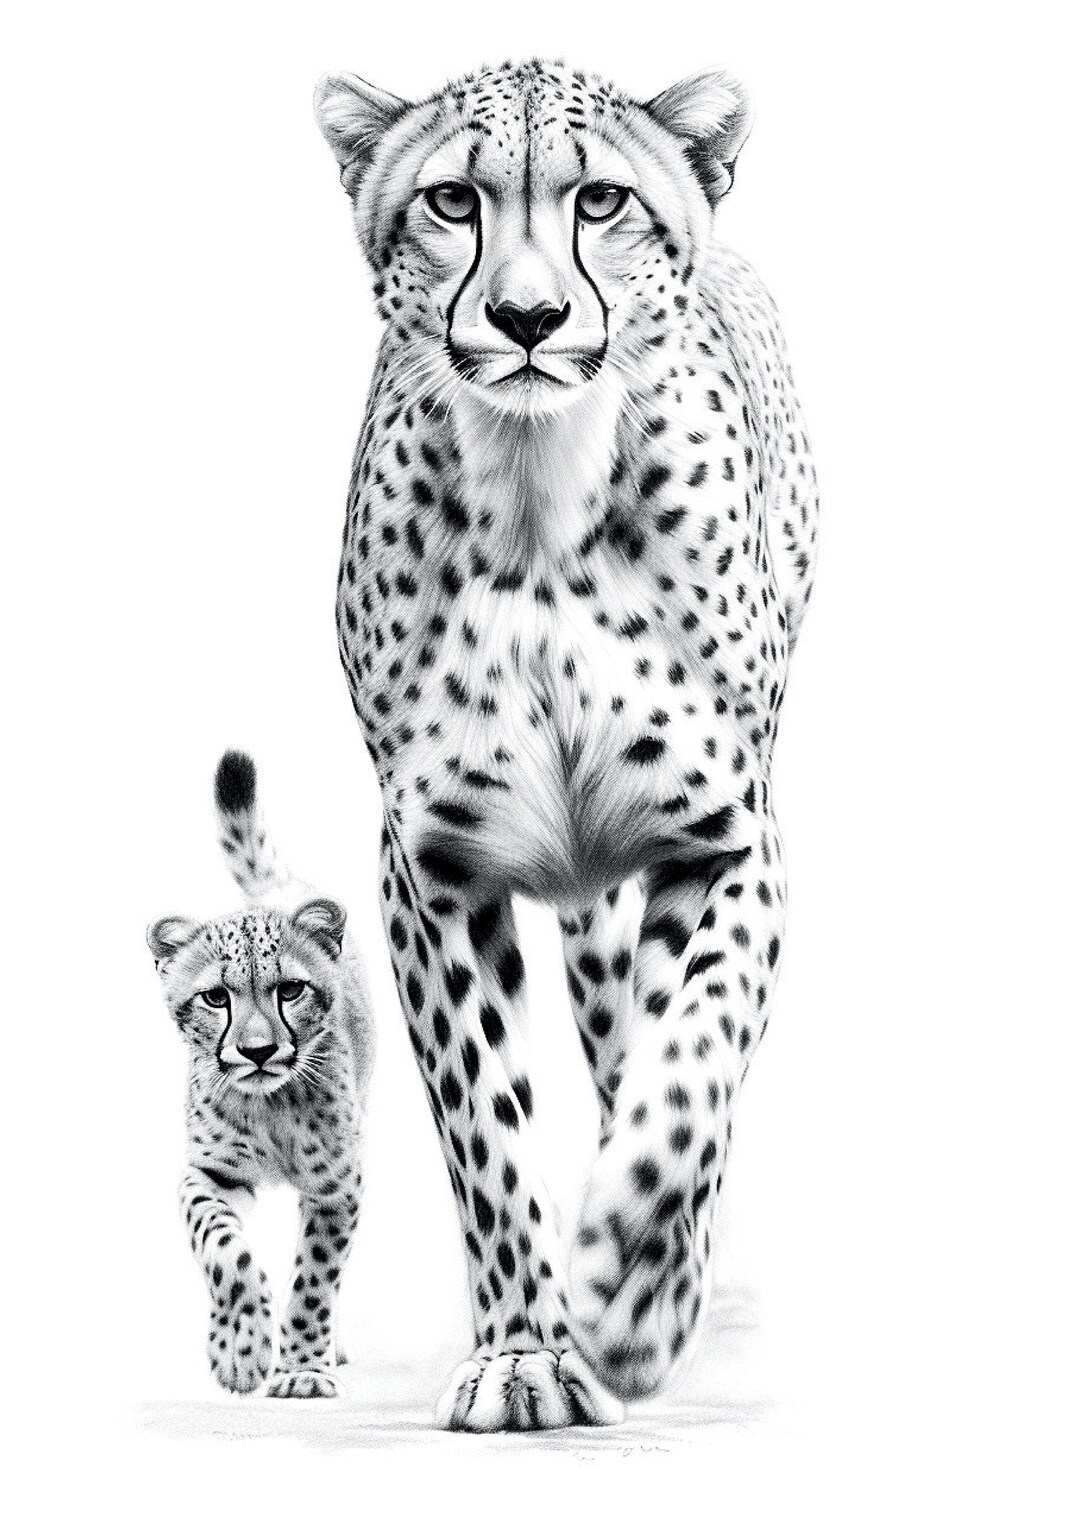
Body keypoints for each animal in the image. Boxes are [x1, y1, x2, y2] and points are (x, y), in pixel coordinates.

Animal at [148, 751, 375, 1399]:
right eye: (215, 997)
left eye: (291, 990)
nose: (257, 1051)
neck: (271, 1104)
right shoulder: (210, 1173)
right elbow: (223, 1247)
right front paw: (240, 1347)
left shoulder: (337, 1184)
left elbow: (317, 1276)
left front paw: (300, 1368)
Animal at [313, 57, 818, 1431]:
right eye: (452, 200)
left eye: (601, 200)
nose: (530, 316)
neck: (541, 497)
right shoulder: (432, 867)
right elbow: (482, 1122)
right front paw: (528, 1352)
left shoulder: (725, 841)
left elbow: (693, 1048)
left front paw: (632, 1279)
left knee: (644, 1034)